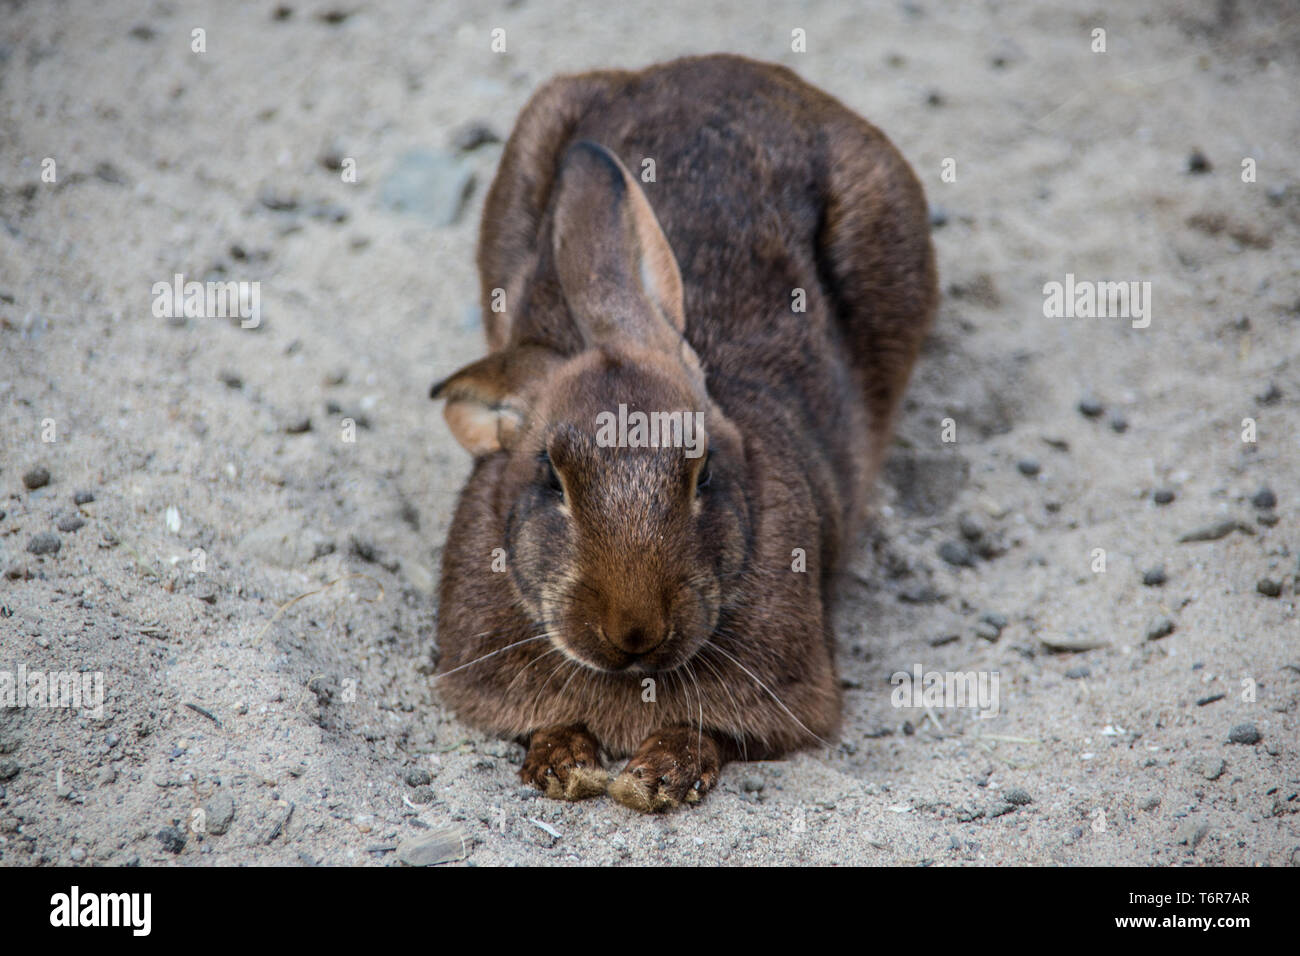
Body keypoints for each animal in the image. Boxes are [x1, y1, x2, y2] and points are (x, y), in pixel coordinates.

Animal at [430, 54, 936, 812]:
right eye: (552, 477)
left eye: (703, 471)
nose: (635, 630)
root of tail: (734, 69)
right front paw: (564, 764)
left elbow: (715, 733)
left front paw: (658, 776)